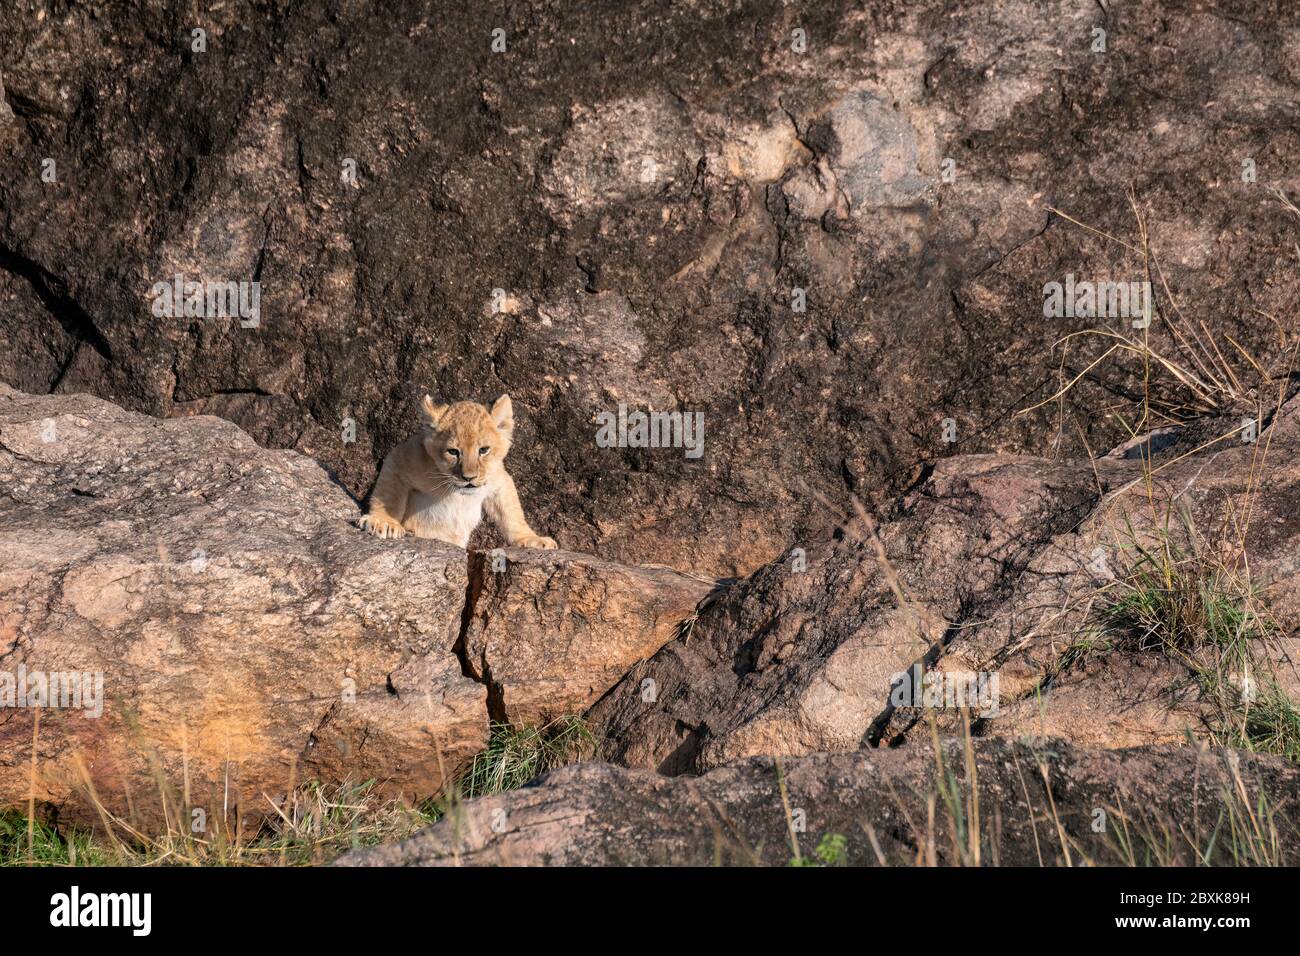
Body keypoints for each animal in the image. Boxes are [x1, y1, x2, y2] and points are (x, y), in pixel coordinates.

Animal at [358, 394, 558, 550]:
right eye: (453, 452)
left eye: (483, 450)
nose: (469, 478)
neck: (458, 494)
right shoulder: (401, 457)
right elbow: (389, 496)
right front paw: (384, 522)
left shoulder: (498, 480)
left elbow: (512, 513)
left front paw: (532, 539)